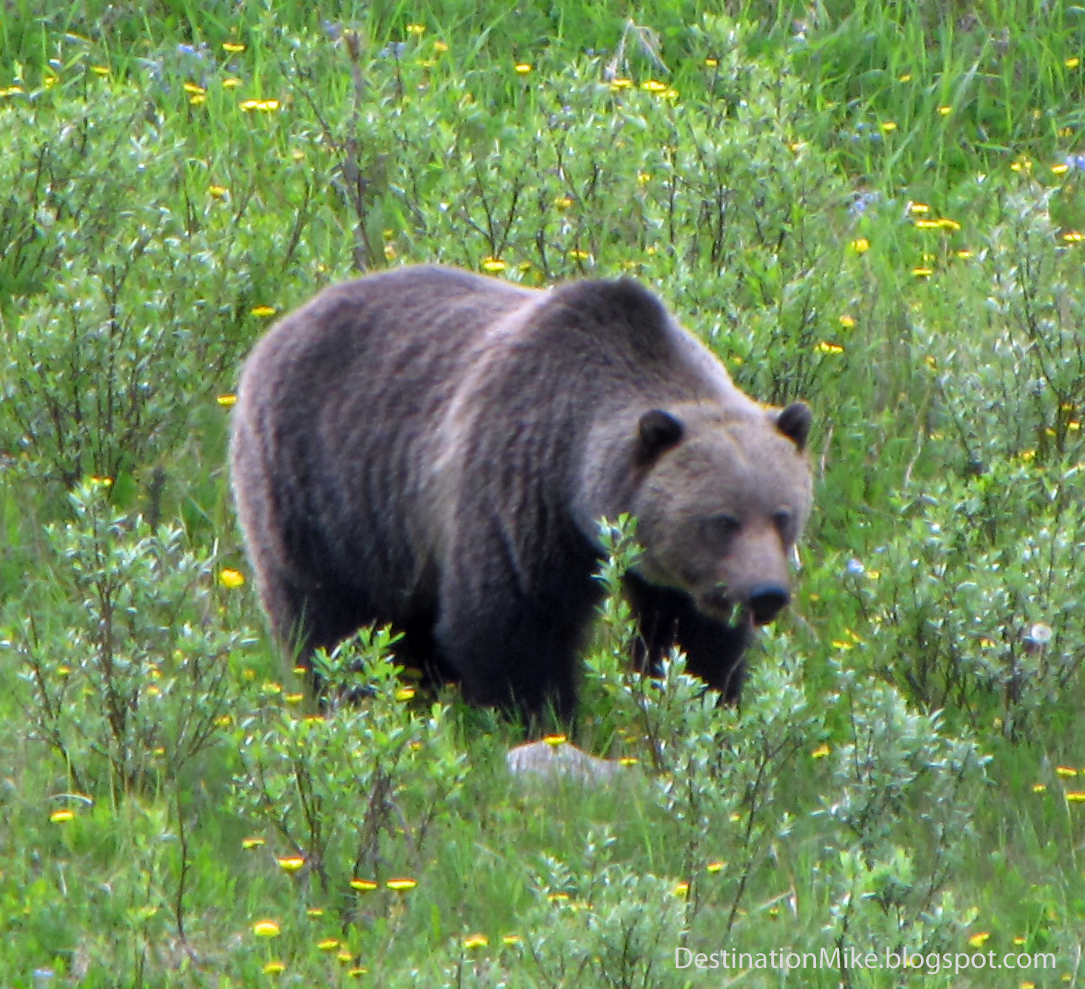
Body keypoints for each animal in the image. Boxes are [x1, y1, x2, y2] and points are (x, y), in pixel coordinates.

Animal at [229, 264, 812, 724]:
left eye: (783, 515)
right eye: (722, 521)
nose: (765, 593)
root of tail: (277, 328)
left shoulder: (669, 576)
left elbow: (690, 641)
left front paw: (707, 702)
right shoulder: (519, 491)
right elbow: (511, 629)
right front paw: (543, 720)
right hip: (319, 492)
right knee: (327, 620)